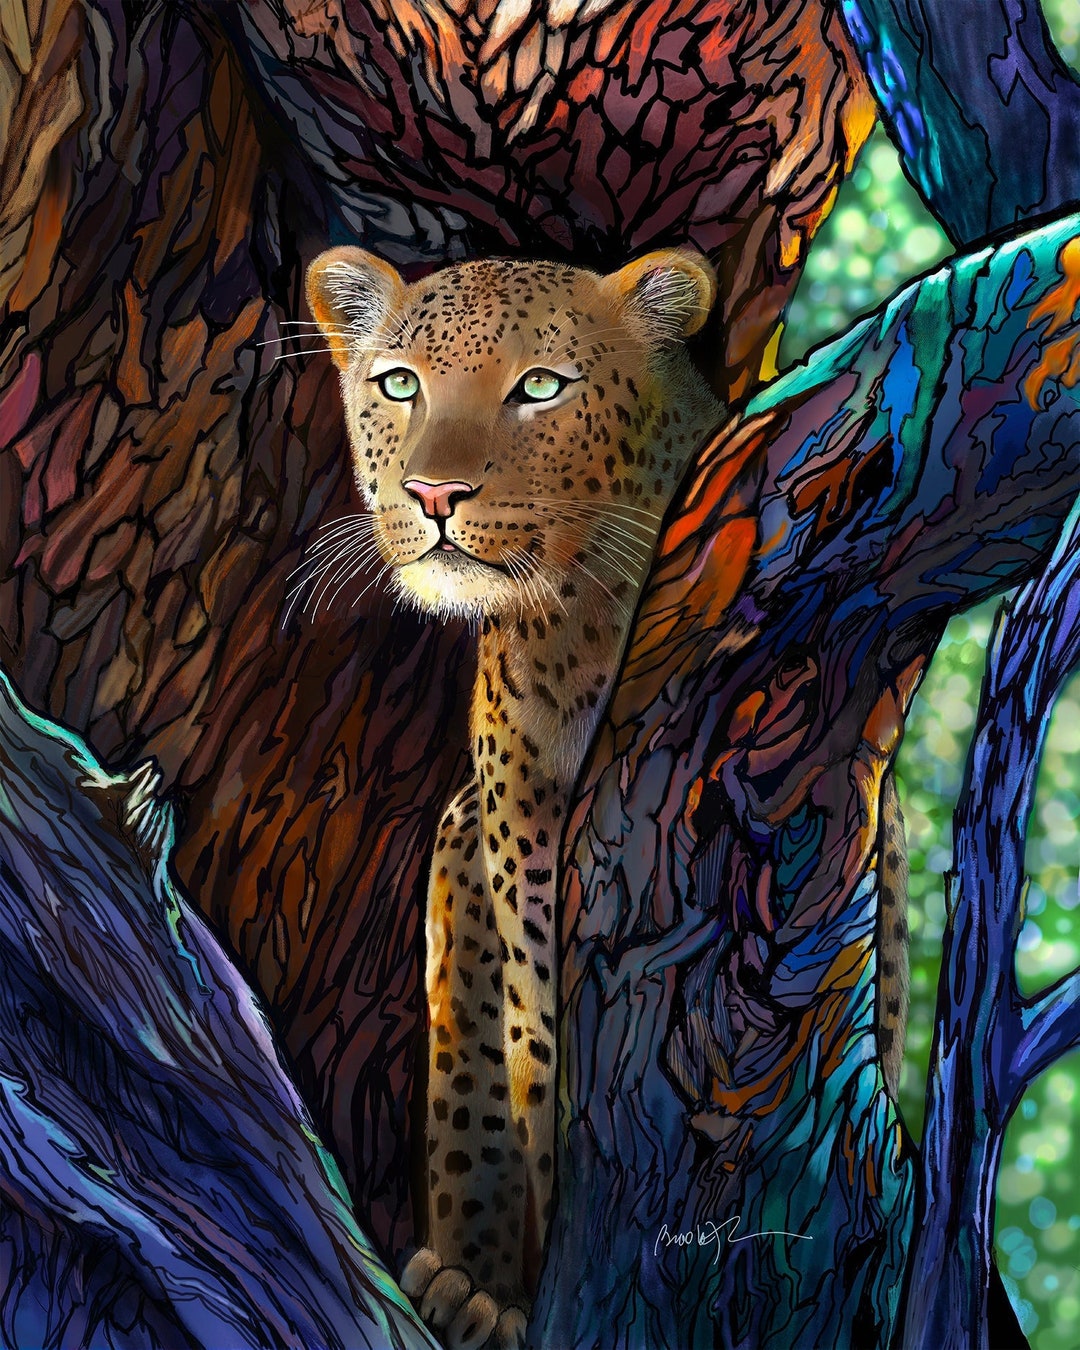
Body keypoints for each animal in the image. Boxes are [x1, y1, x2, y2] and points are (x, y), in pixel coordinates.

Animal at [304, 244, 910, 1349]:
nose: (434, 493)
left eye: (541, 387)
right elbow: (532, 1058)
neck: (581, 617)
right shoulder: (512, 836)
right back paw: (472, 1287)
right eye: (399, 385)